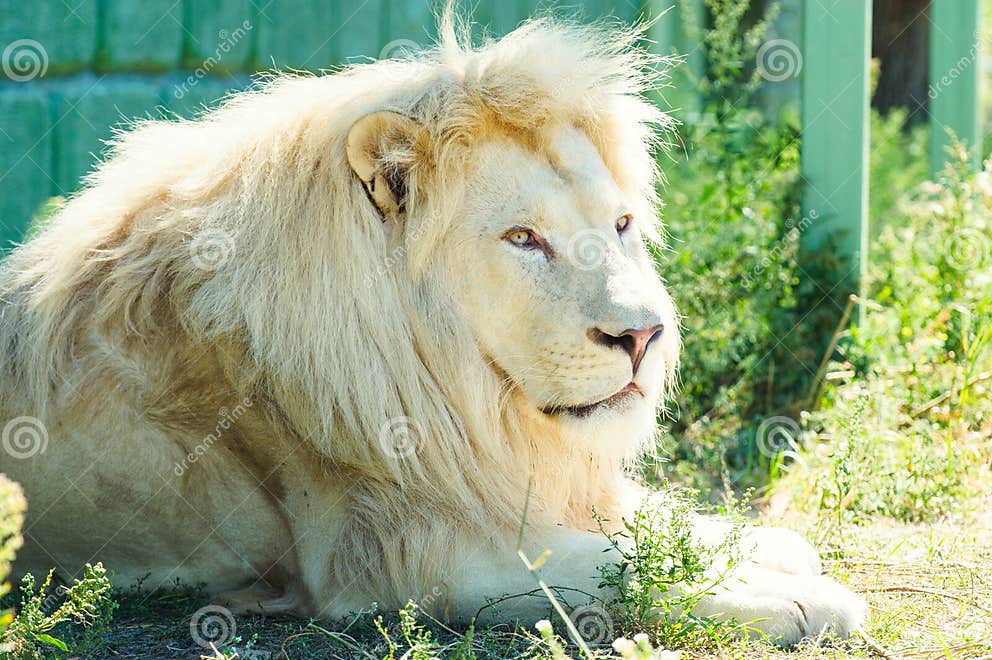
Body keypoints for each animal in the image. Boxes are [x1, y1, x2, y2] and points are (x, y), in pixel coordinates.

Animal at [0, 12, 865, 646]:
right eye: (524, 238)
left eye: (621, 225)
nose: (644, 337)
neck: (466, 397)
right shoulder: (394, 555)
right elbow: (618, 564)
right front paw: (802, 599)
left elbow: (654, 525)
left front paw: (768, 545)